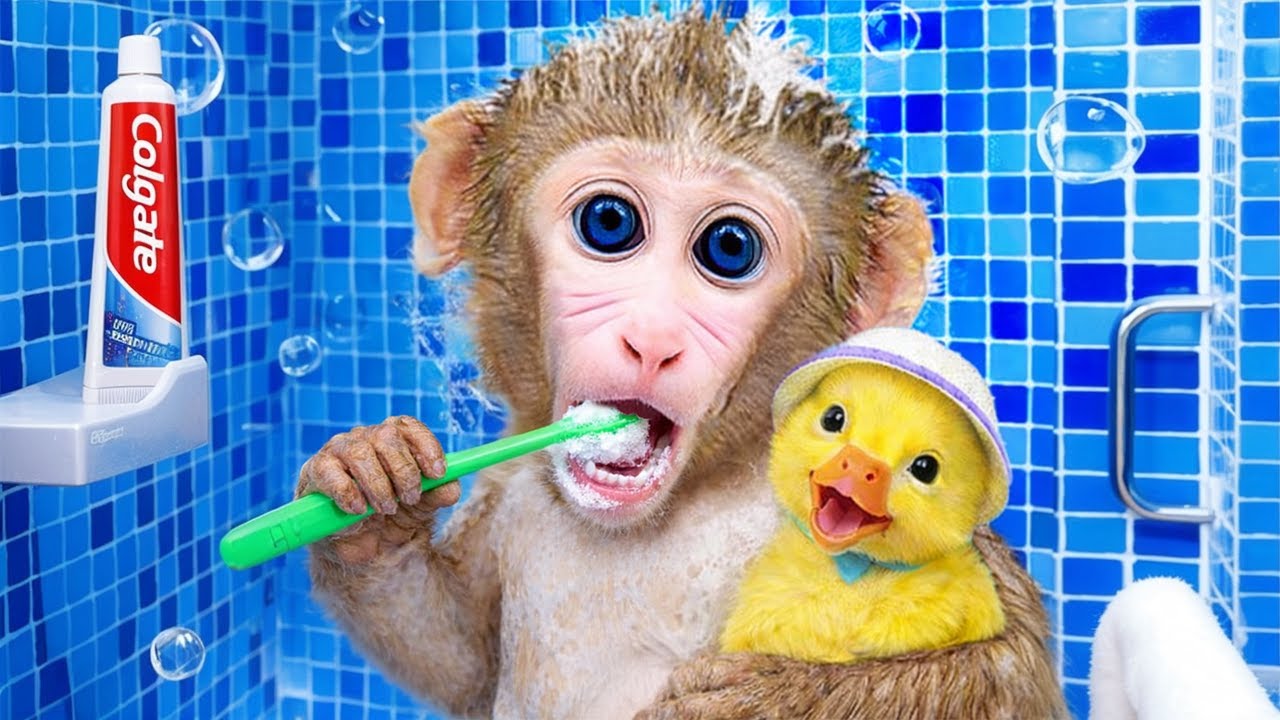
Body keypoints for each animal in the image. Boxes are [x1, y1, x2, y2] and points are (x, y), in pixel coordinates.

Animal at [296, 8, 1068, 720]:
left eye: (728, 248)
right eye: (609, 223)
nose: (653, 336)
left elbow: (1009, 670)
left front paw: (773, 700)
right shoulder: (510, 488)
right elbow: (461, 659)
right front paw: (369, 489)